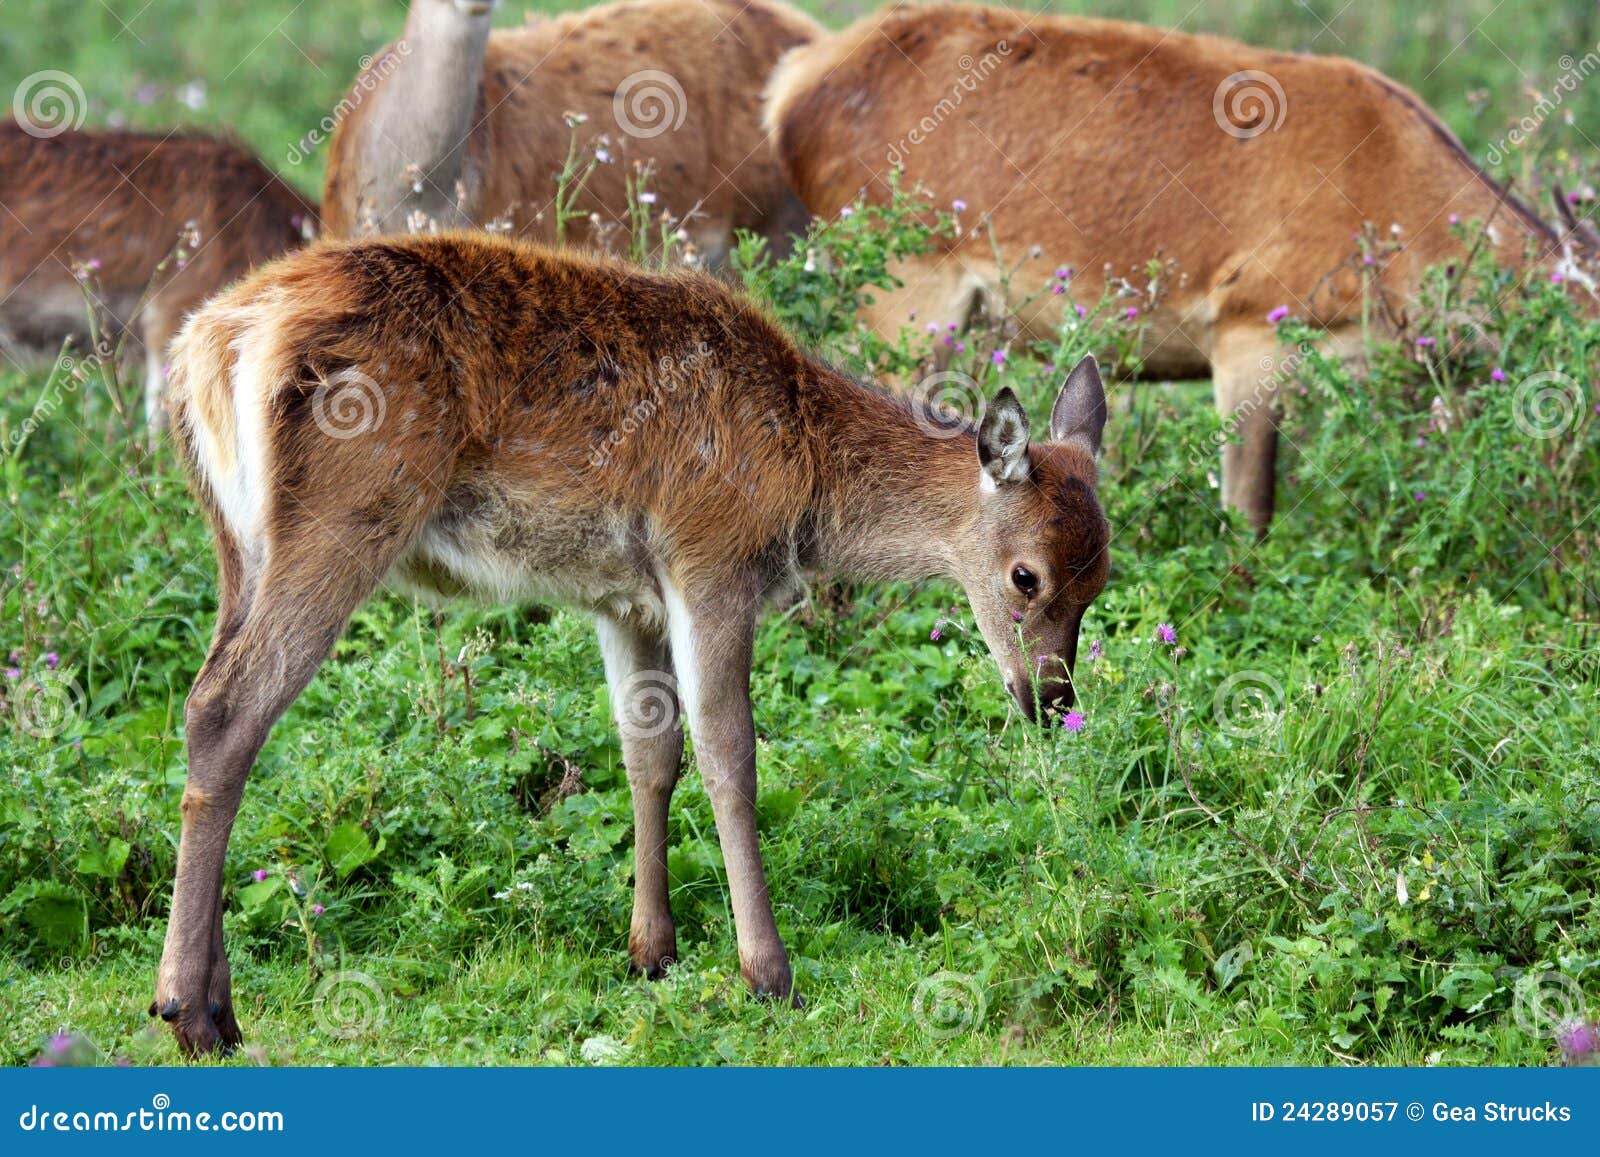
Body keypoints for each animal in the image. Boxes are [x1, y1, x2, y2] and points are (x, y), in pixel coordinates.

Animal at [152, 230, 1110, 1055]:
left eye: (1100, 576)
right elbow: (730, 753)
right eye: (1026, 576)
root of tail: (207, 348)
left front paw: (651, 950)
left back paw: (216, 1004)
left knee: (209, 708)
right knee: (227, 709)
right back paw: (188, 1011)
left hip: (236, 542)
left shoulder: (625, 602)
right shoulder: (710, 554)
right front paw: (768, 971)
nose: (1052, 698)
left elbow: (651, 754)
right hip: (348, 512)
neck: (804, 480)